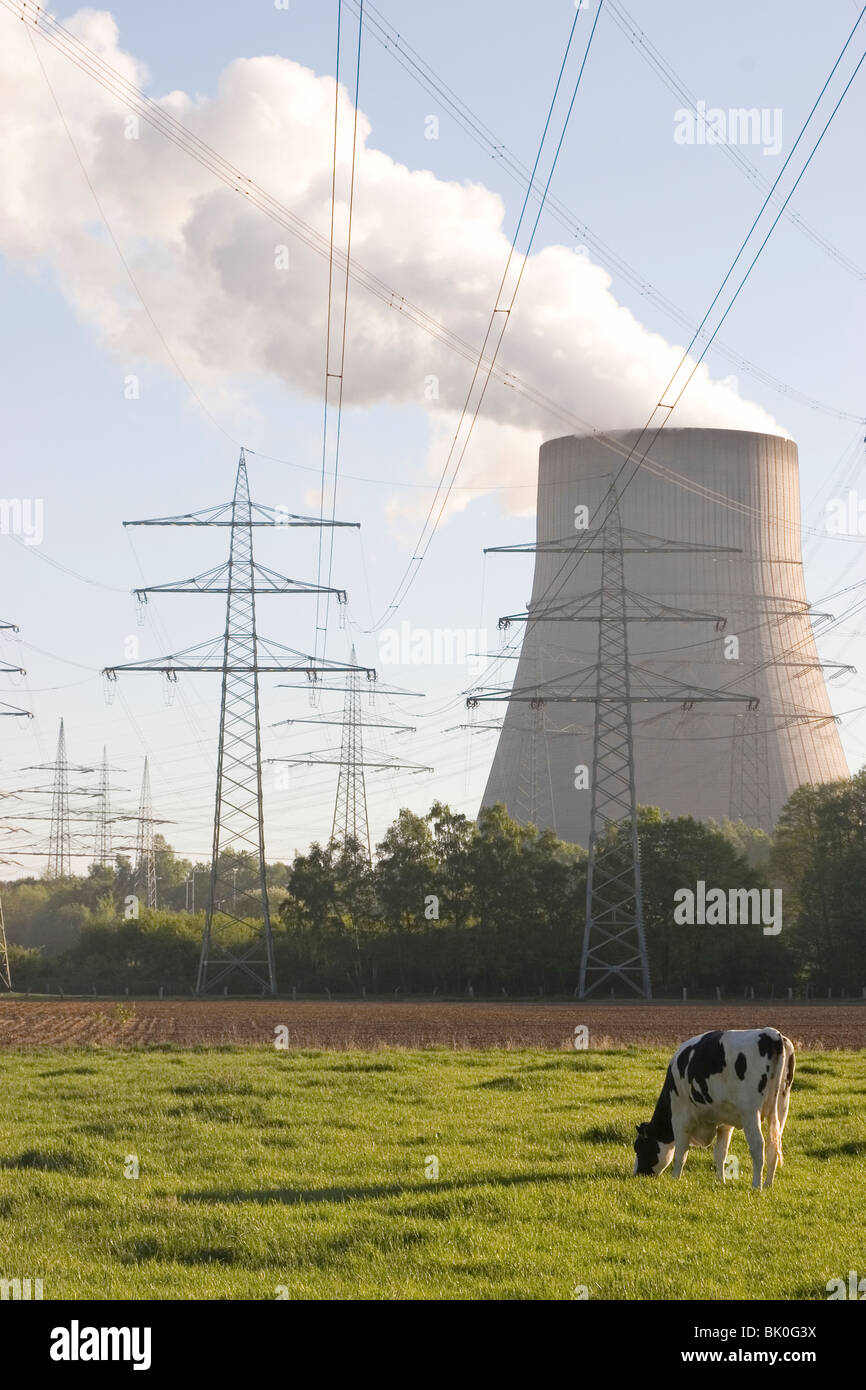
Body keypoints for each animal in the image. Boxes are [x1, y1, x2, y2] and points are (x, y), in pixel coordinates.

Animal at [633, 1028, 795, 1190]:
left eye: (639, 1147)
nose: (636, 1175)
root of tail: (772, 1034)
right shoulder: (724, 1123)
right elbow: (720, 1153)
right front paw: (720, 1180)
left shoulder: (680, 1119)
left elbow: (681, 1153)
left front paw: (675, 1179)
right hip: (781, 1108)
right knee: (773, 1147)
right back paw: (768, 1184)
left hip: (750, 1112)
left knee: (758, 1146)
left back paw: (756, 1186)